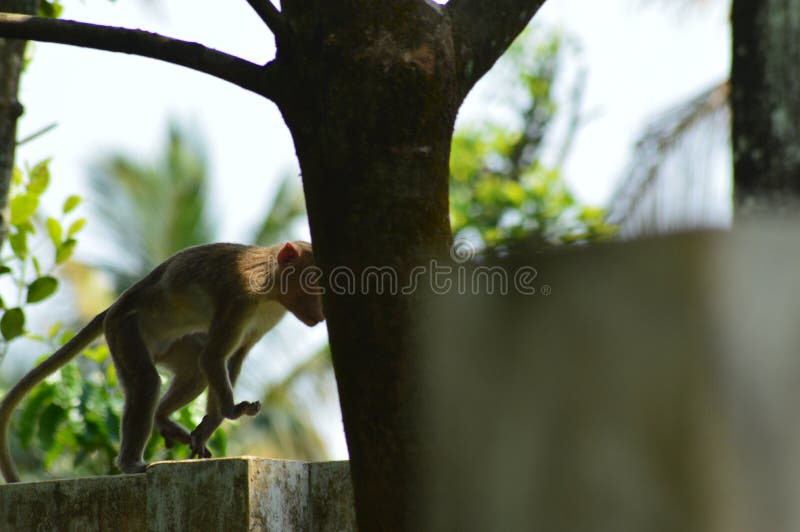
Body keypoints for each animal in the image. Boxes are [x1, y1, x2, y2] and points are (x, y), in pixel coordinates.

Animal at [0, 241, 324, 482]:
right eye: (314, 283)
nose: (321, 315)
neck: (271, 289)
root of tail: (113, 308)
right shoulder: (240, 299)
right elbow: (214, 356)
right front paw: (232, 411)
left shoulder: (270, 315)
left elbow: (233, 358)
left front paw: (210, 425)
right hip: (124, 331)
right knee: (147, 381)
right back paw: (131, 462)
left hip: (163, 342)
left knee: (194, 367)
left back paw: (162, 417)